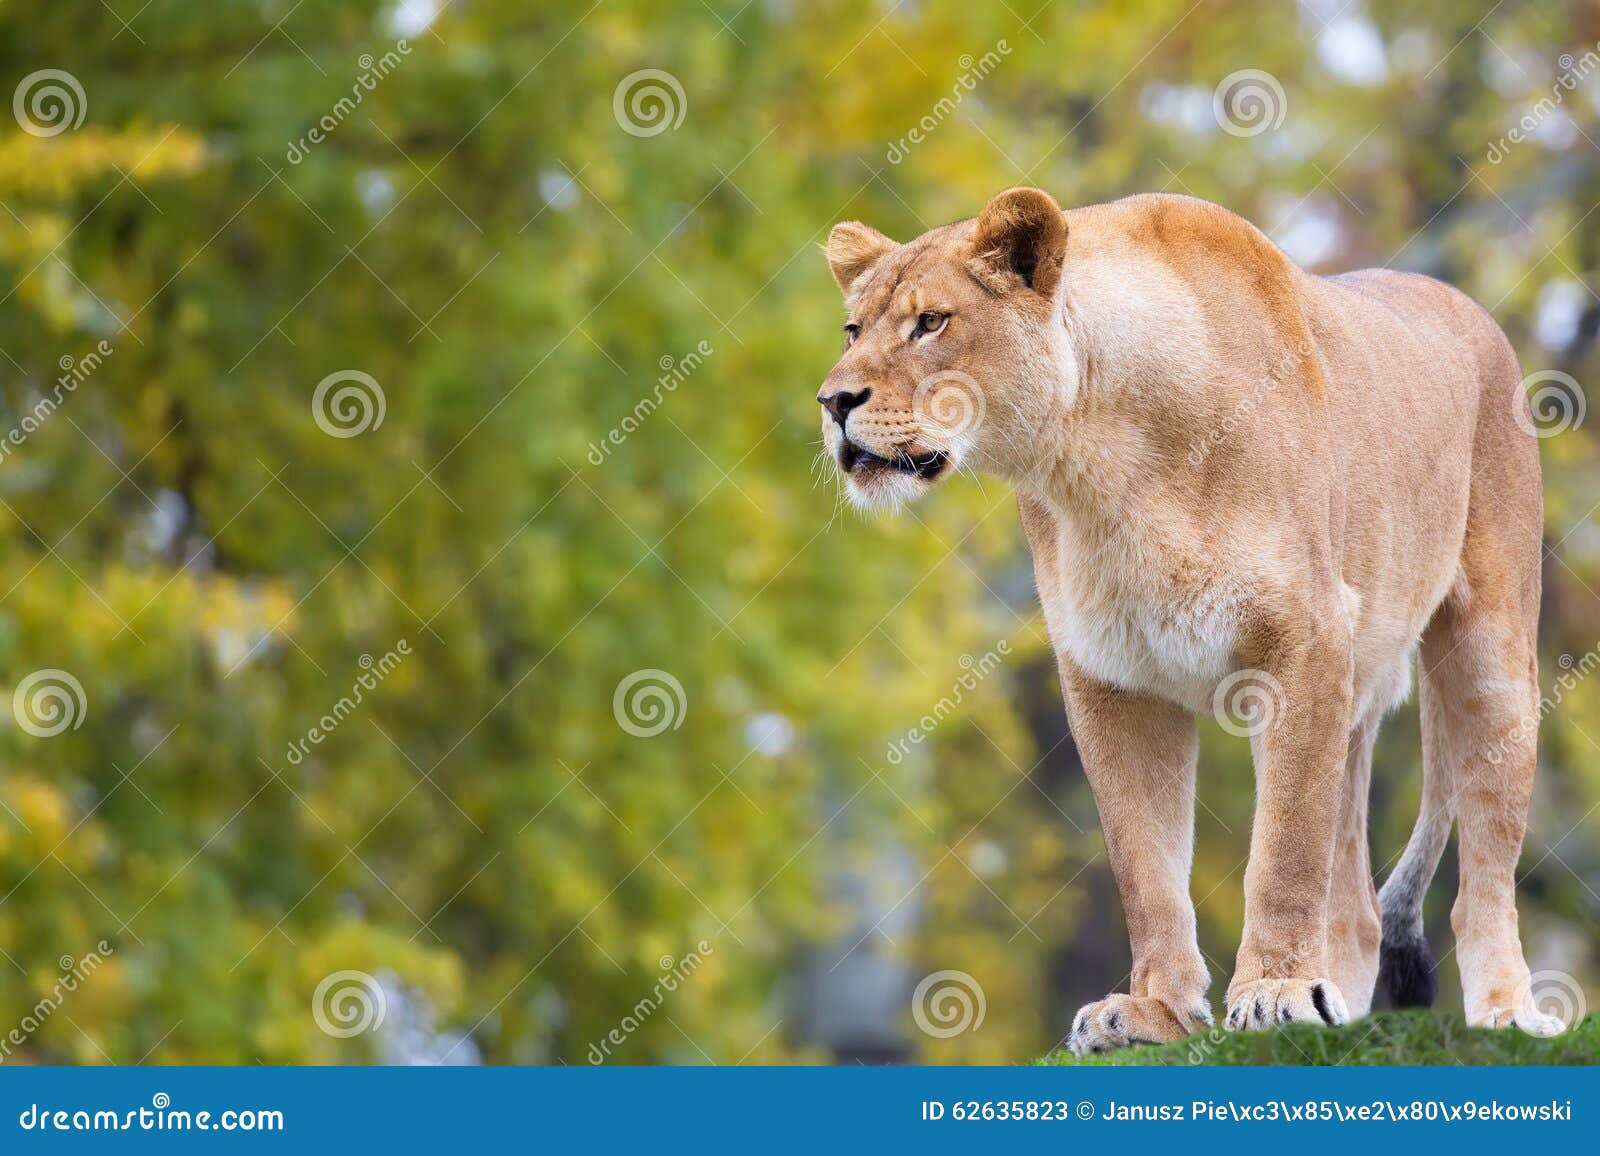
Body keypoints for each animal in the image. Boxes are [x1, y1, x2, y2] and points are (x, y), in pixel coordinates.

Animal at [817, 187, 1562, 1054]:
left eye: (931, 322)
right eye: (852, 331)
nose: (834, 403)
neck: (1102, 465)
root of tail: (1468, 306)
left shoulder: (1306, 641)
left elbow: (1283, 849)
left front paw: (1274, 993)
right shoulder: (1111, 678)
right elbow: (1145, 864)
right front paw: (1153, 1012)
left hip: (1492, 659)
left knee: (1483, 875)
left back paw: (1506, 1011)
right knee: (1357, 905)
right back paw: (1341, 1006)